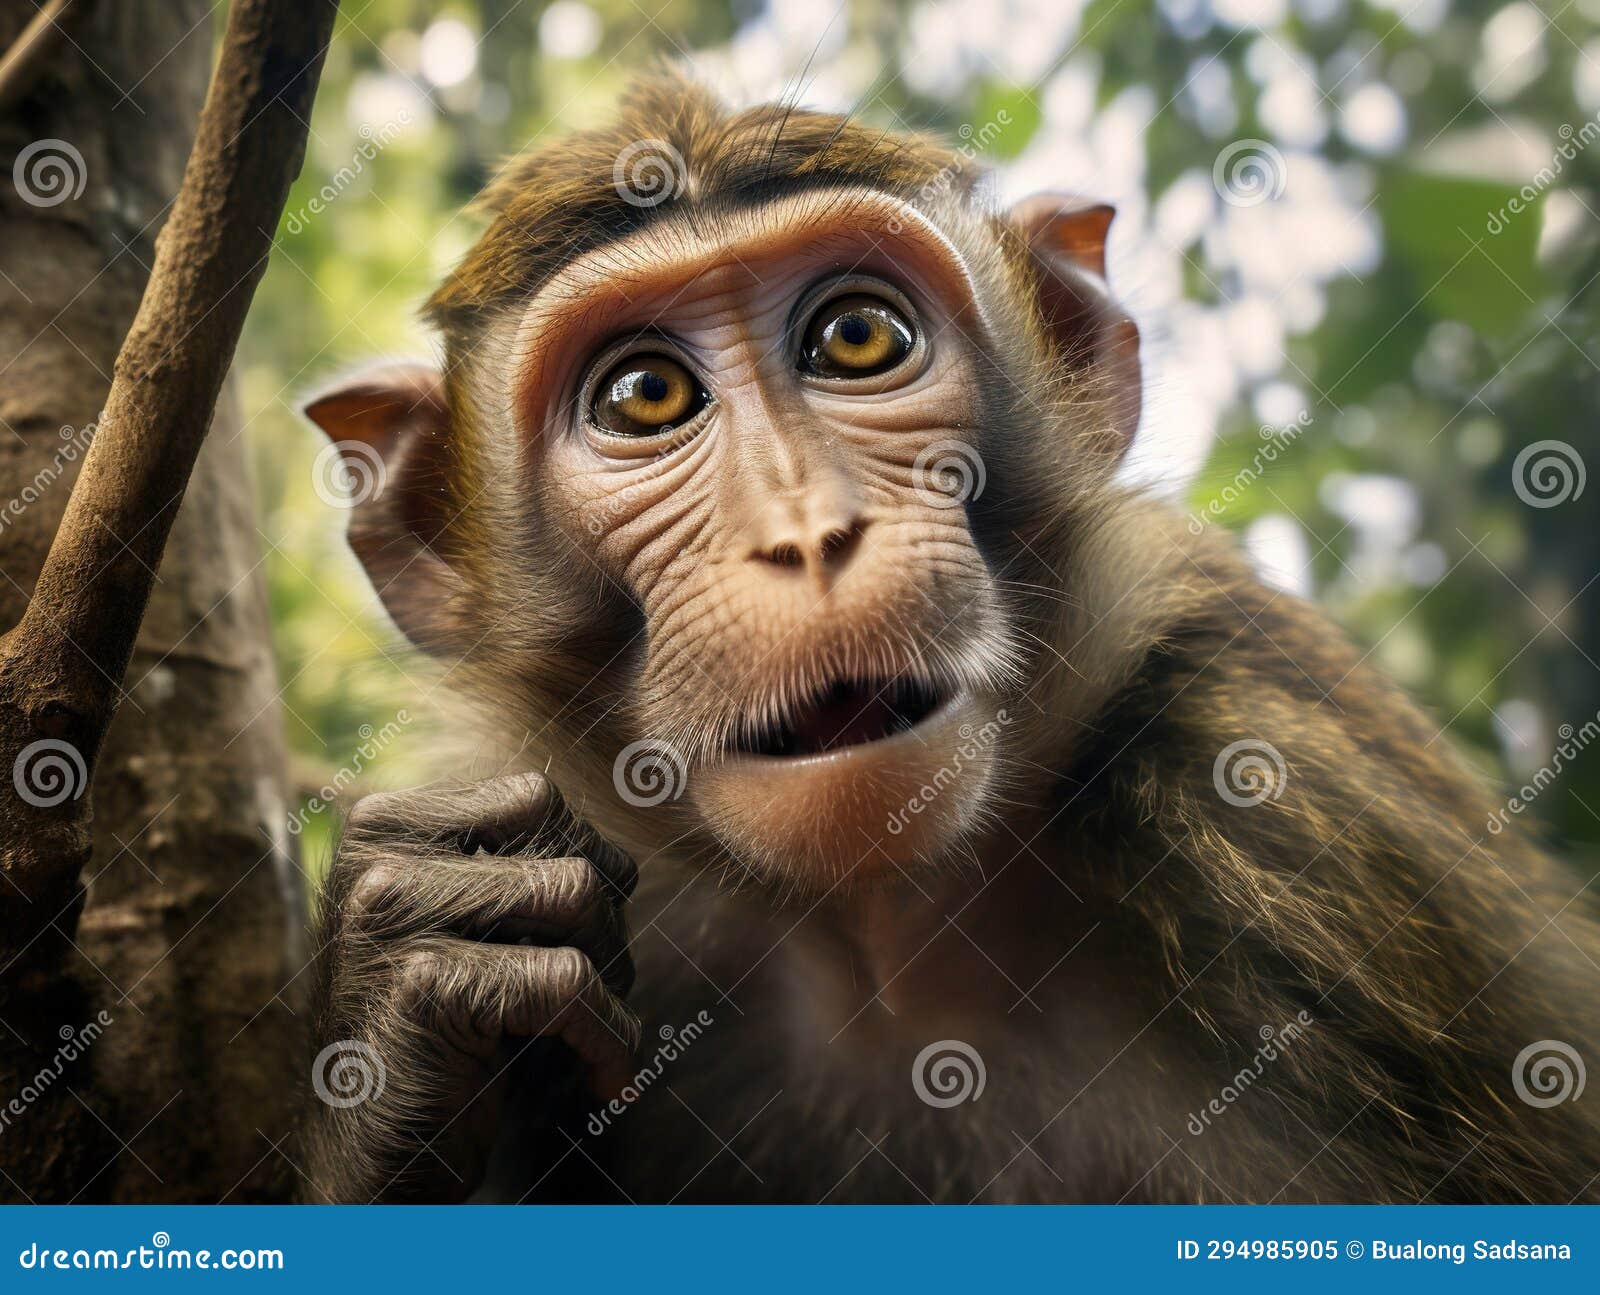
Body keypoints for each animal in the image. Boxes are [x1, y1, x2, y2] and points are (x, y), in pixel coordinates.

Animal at [297, 73, 1600, 1204]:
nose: (808, 534)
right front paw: (405, 996)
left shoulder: (1290, 793)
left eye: (857, 339)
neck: (888, 942)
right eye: (644, 398)